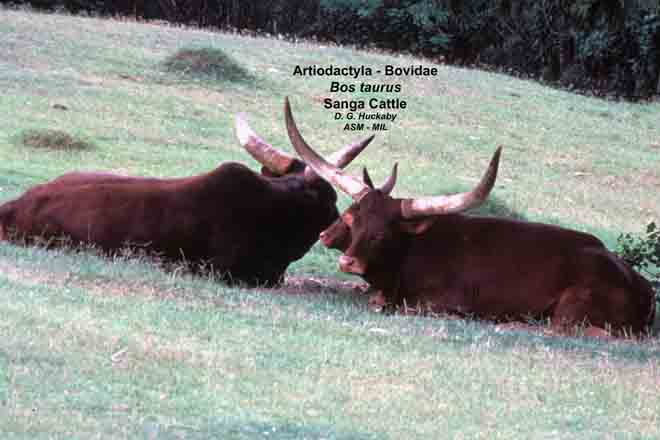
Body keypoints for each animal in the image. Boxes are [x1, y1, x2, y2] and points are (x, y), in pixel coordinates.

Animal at [284, 98, 656, 336]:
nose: (347, 262)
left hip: (571, 309)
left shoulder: (442, 304)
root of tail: (643, 286)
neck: (412, 251)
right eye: (353, 219)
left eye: (381, 233)